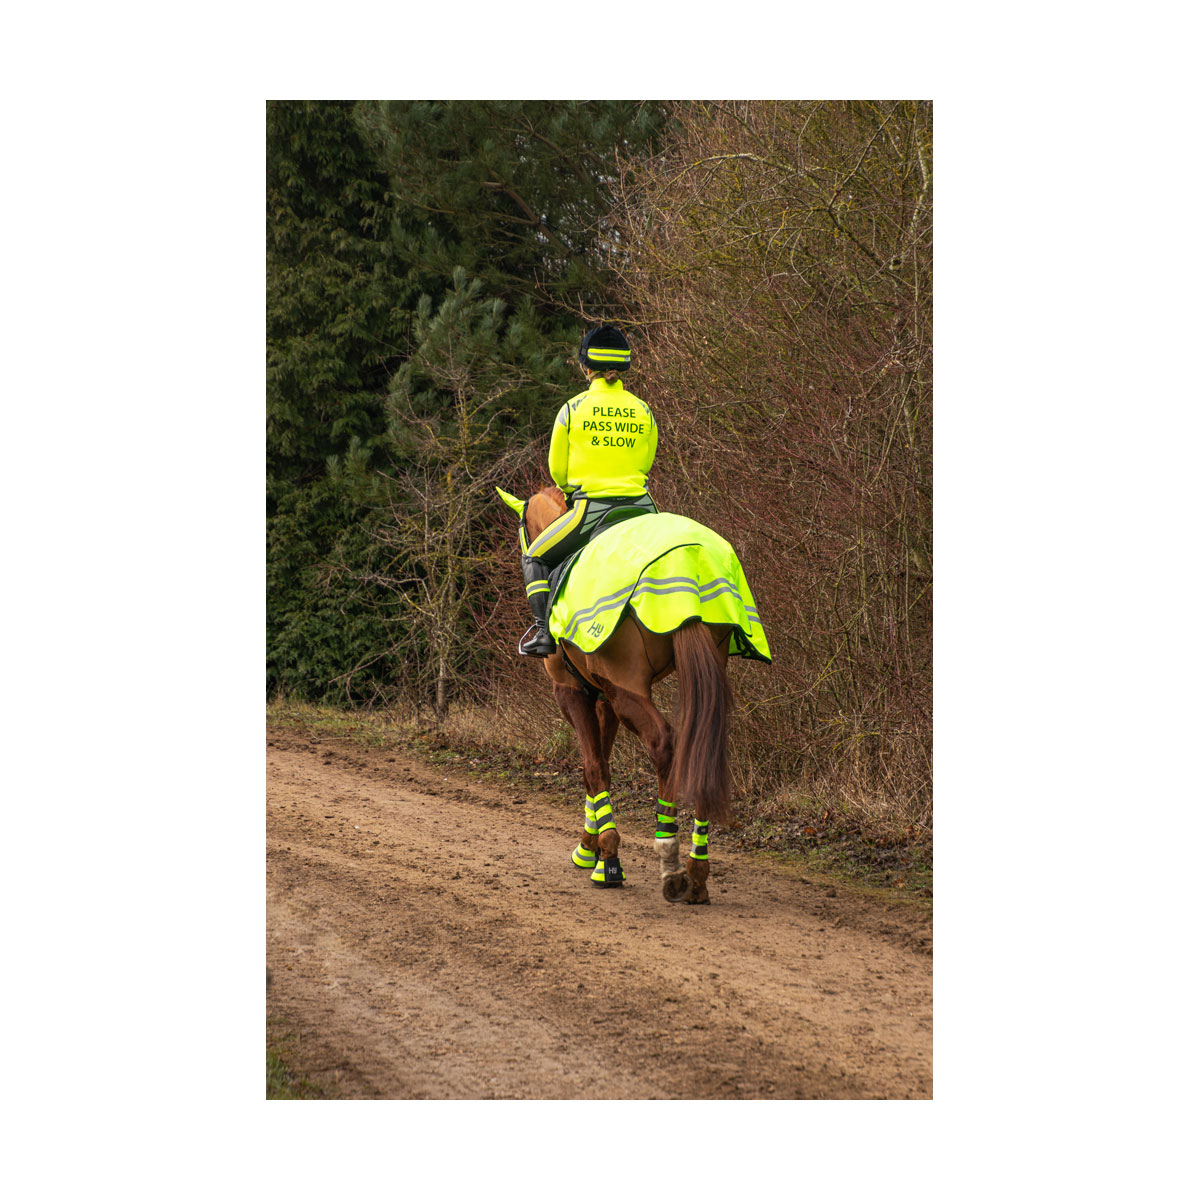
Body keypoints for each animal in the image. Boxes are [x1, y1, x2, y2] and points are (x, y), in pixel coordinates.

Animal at [515, 485, 748, 905]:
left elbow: (592, 768)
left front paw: (605, 857)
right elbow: (601, 767)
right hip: (698, 675)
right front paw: (591, 847)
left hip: (628, 691)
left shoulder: (573, 693)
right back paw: (697, 872)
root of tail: (686, 563)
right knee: (702, 745)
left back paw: (670, 860)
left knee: (665, 744)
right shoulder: (605, 697)